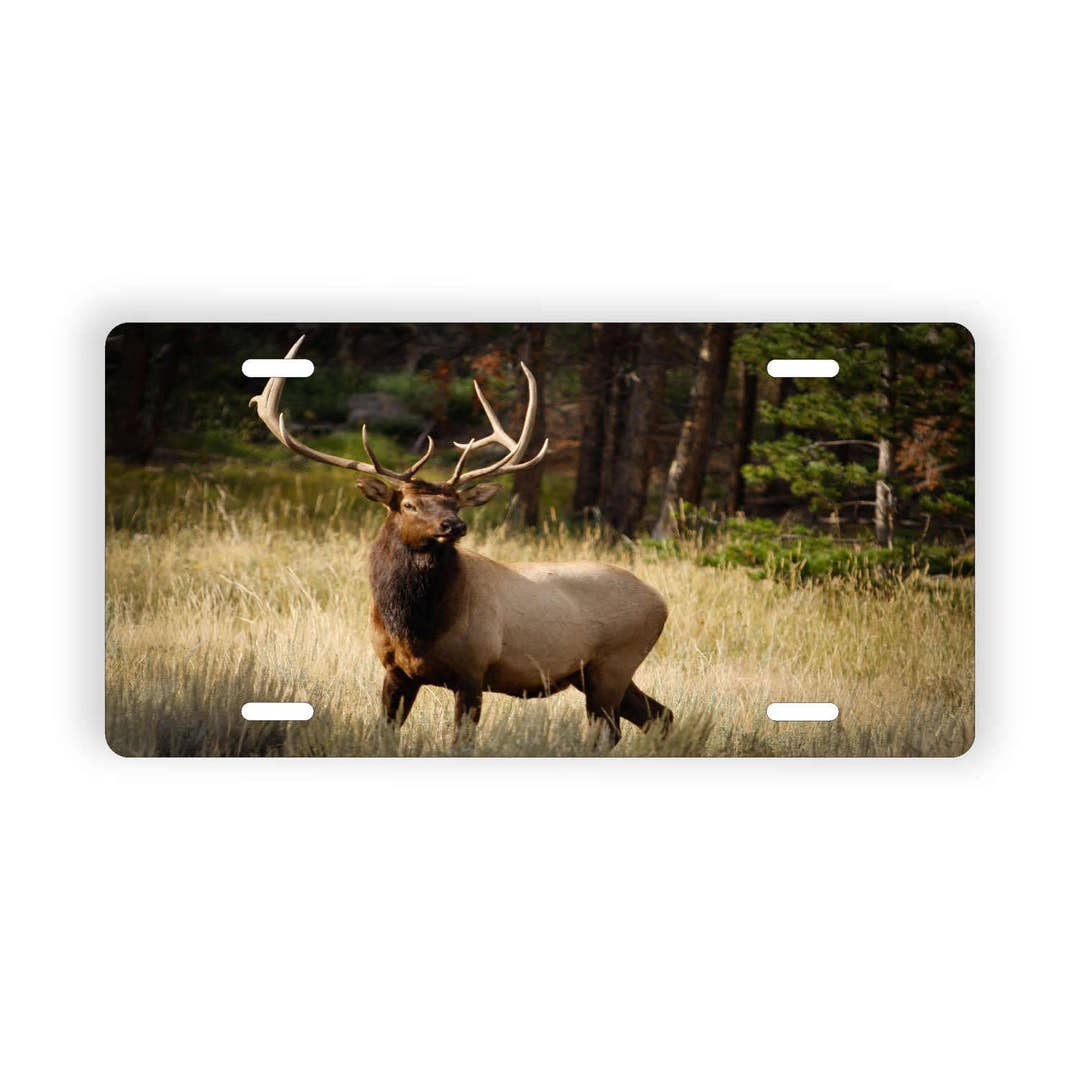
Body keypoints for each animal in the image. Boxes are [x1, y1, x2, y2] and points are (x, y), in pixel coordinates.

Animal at [249, 336, 673, 750]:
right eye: (408, 503)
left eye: (454, 502)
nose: (454, 524)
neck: (416, 629)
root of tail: (661, 602)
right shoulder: (396, 671)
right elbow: (386, 733)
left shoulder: (473, 670)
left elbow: (461, 742)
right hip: (592, 673)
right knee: (659, 715)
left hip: (614, 663)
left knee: (612, 730)